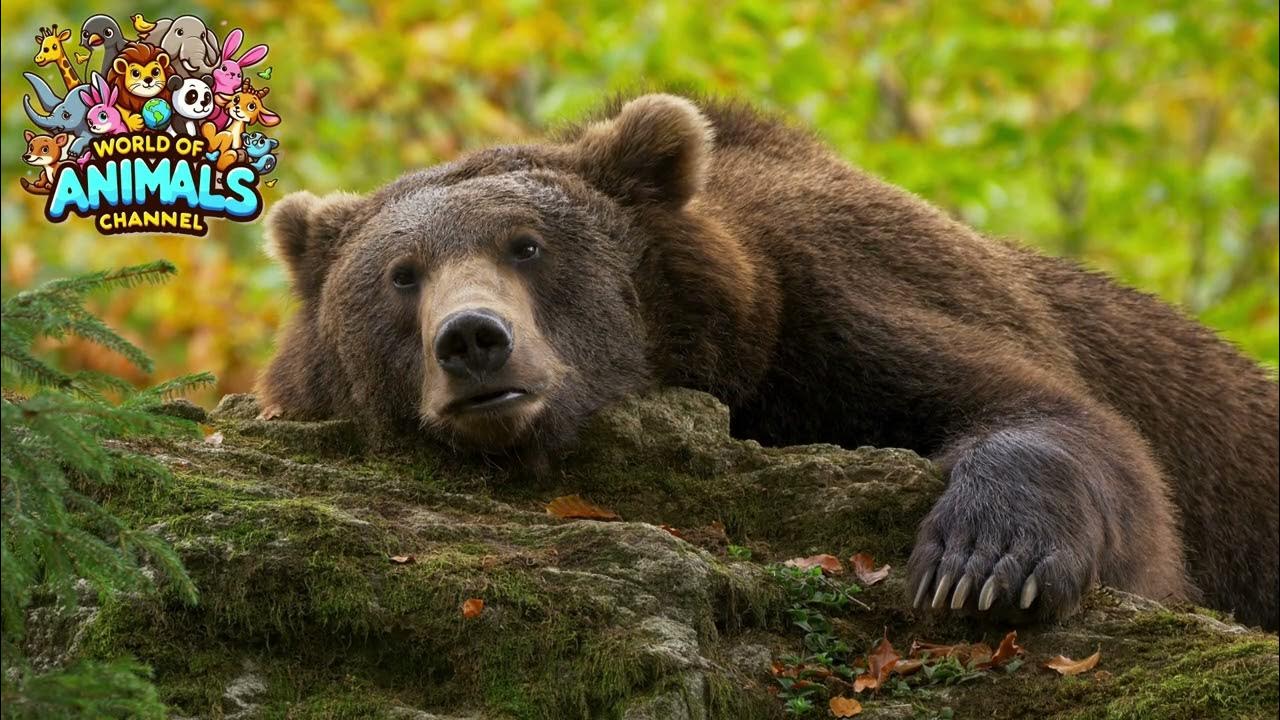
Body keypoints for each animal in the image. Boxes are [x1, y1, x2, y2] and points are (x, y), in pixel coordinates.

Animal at [259, 93, 1280, 630]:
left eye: (527, 244)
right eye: (401, 274)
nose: (473, 339)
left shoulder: (832, 311)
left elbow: (1045, 412)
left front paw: (983, 561)